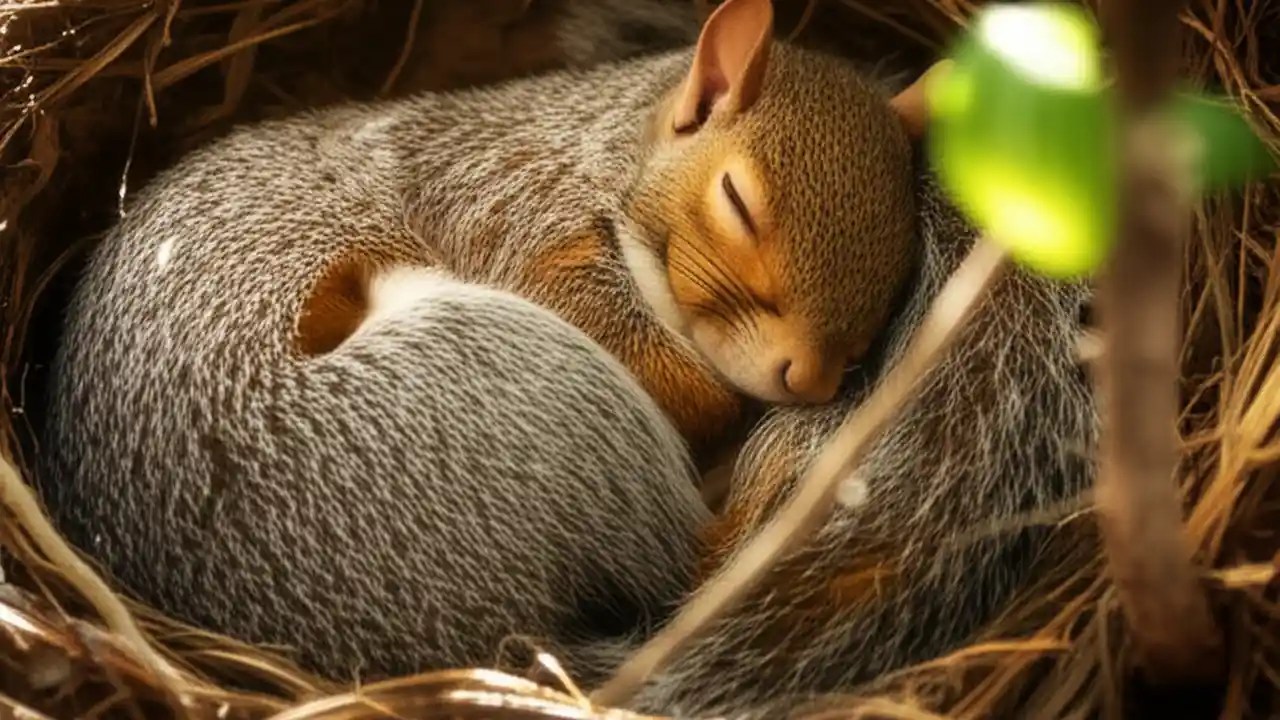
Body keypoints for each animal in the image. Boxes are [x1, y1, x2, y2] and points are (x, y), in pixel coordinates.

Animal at [40, 0, 931, 694]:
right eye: (739, 202)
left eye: (898, 263)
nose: (809, 379)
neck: (604, 141)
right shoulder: (509, 208)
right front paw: (717, 402)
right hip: (513, 373)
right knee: (682, 552)